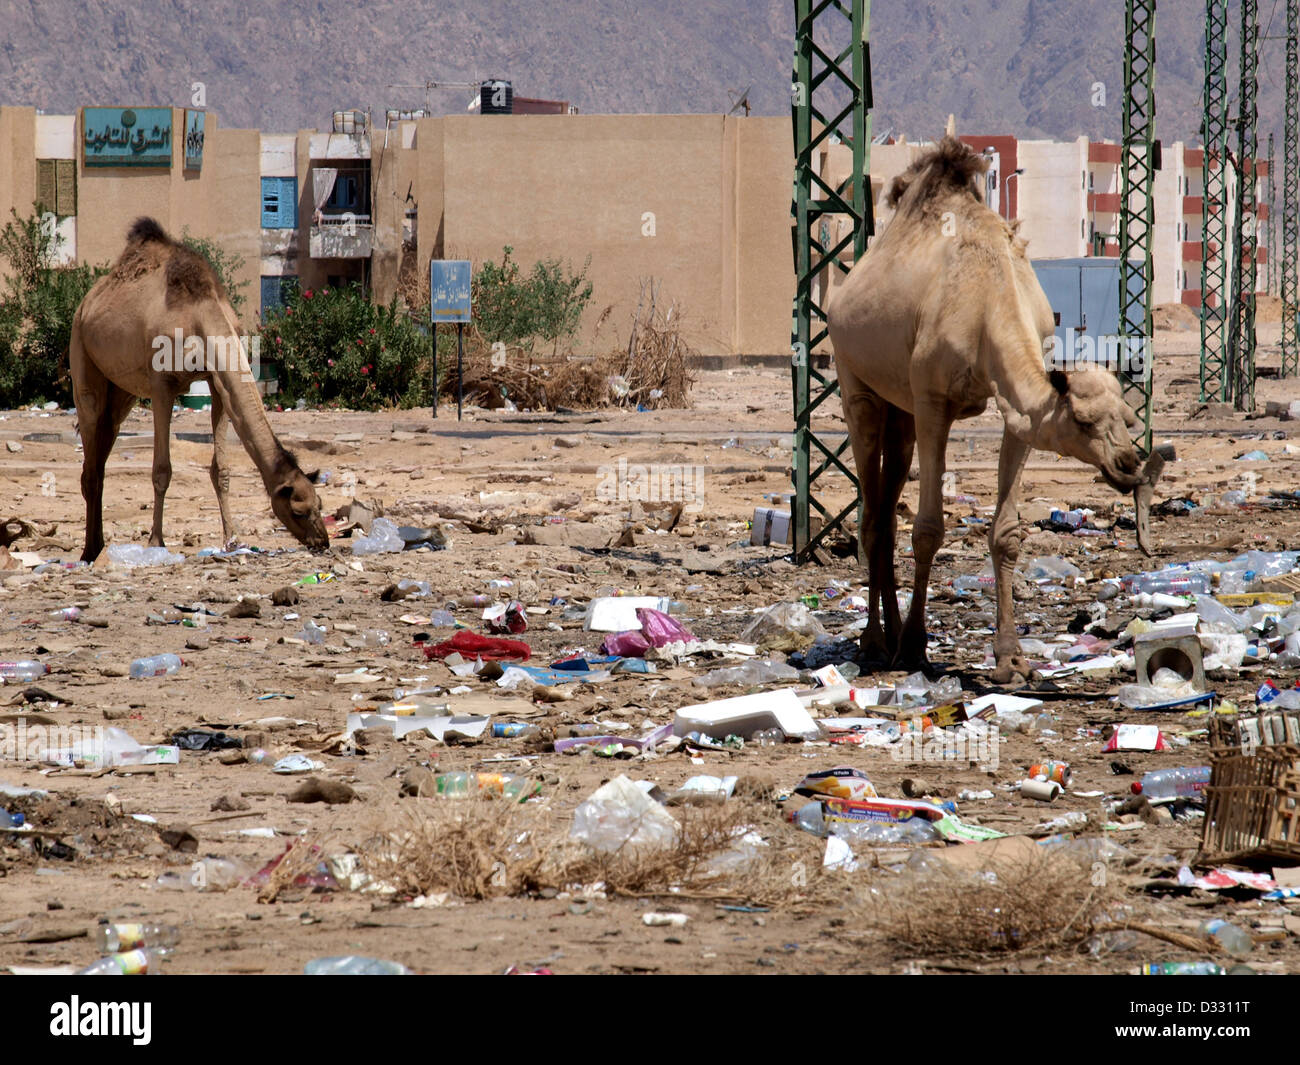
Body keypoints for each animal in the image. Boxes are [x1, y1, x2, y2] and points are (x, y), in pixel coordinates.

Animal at [69, 218, 329, 562]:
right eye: (298, 510)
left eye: (319, 504)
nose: (322, 541)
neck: (200, 315)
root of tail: (86, 304)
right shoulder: (161, 384)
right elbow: (161, 470)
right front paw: (156, 542)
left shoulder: (217, 383)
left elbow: (222, 470)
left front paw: (232, 540)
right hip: (82, 353)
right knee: (90, 436)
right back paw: (88, 551)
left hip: (121, 393)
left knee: (102, 447)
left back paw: (98, 546)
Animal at [827, 136, 1161, 685]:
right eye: (1085, 422)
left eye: (1127, 419)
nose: (1128, 463)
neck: (988, 297)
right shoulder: (932, 401)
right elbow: (928, 529)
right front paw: (916, 646)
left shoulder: (1017, 415)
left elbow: (1005, 533)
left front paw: (1011, 659)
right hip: (857, 383)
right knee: (874, 513)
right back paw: (877, 643)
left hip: (900, 411)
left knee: (887, 508)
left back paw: (889, 636)